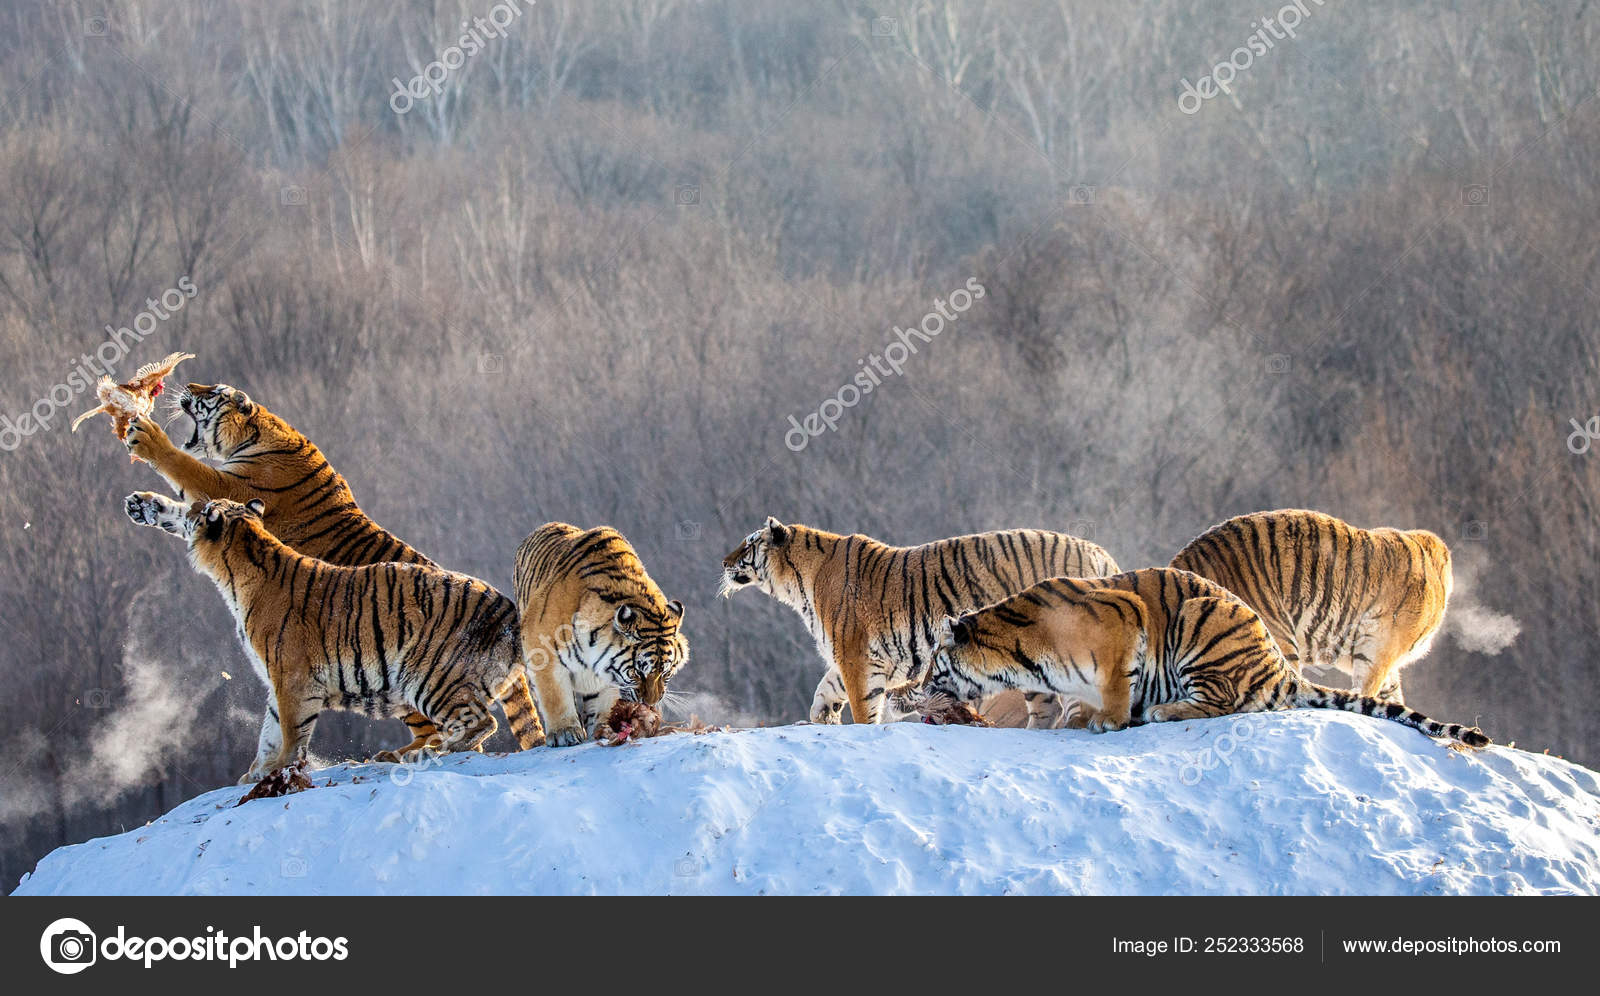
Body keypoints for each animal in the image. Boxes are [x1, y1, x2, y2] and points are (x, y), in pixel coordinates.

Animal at [122, 383, 541, 751]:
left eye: (210, 392)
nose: (184, 389)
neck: (257, 432)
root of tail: (507, 619)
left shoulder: (233, 487)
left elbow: (186, 470)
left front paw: (145, 436)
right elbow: (186, 515)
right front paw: (143, 506)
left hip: (408, 677)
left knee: (449, 728)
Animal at [123, 492, 545, 782]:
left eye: (201, 511)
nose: (194, 508)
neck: (239, 567)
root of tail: (509, 610)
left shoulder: (291, 678)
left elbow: (290, 731)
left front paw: (280, 769)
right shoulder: (277, 682)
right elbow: (268, 731)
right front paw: (256, 771)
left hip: (430, 676)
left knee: (478, 725)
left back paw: (425, 753)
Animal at [513, 522, 688, 747]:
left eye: (666, 673)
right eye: (638, 673)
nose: (650, 703)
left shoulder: (609, 674)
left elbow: (604, 701)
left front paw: (604, 728)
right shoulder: (542, 651)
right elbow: (556, 696)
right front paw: (564, 734)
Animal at [719, 516, 1120, 727]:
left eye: (748, 544)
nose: (723, 561)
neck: (798, 583)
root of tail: (1102, 556)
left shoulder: (856, 656)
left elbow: (862, 704)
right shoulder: (867, 659)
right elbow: (826, 689)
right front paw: (821, 718)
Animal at [913, 567, 1489, 746]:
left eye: (933, 665)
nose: (916, 690)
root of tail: (1277, 664)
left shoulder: (1123, 619)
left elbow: (1115, 685)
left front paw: (1110, 720)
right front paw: (1077, 721)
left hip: (1198, 620)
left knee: (1225, 702)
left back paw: (1160, 710)